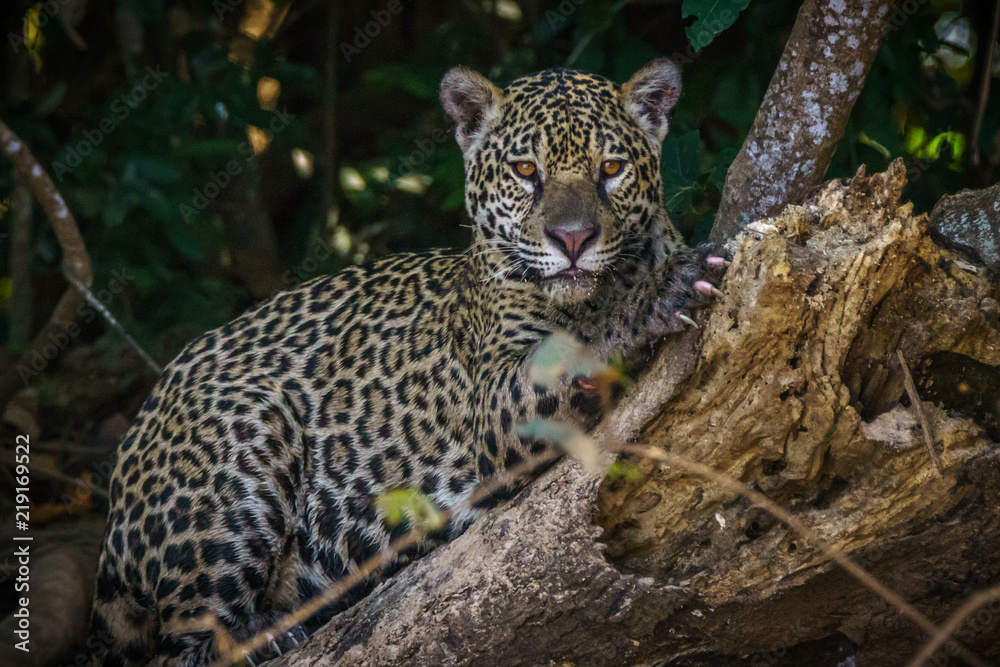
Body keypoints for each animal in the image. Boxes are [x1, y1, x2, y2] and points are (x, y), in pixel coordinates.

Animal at [87, 58, 726, 666]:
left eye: (611, 168)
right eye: (526, 171)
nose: (573, 239)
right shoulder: (498, 405)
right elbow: (581, 341)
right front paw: (662, 293)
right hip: (246, 426)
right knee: (179, 646)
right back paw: (266, 635)